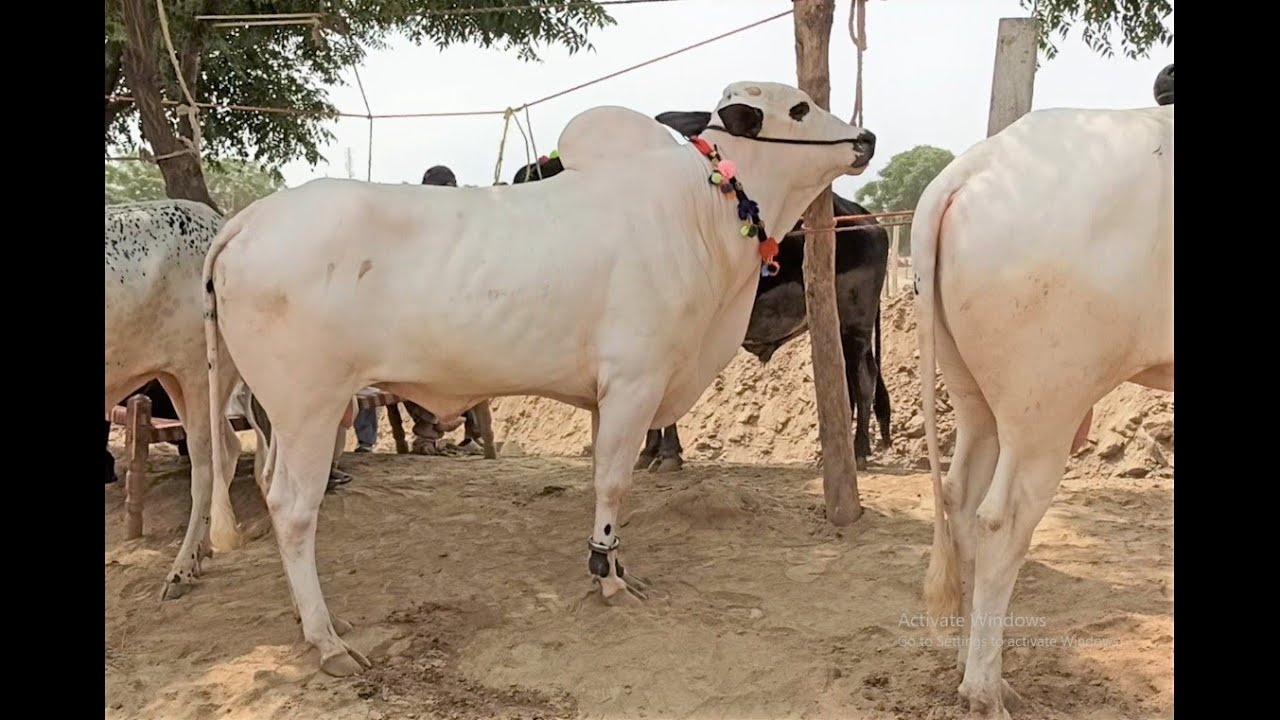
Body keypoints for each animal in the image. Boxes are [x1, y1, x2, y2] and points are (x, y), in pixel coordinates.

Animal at [106, 199, 245, 600]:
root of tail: (218, 224)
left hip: (198, 373)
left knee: (206, 464)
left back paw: (181, 569)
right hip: (177, 379)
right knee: (227, 448)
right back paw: (201, 551)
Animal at [515, 153, 892, 472]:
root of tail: (866, 218)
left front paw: (666, 455)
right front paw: (650, 452)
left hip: (854, 323)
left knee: (862, 378)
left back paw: (858, 452)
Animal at [912, 101, 1172, 718]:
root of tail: (973, 167)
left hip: (976, 395)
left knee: (960, 497)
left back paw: (973, 672)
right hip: (1046, 403)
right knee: (1000, 521)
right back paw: (984, 693)